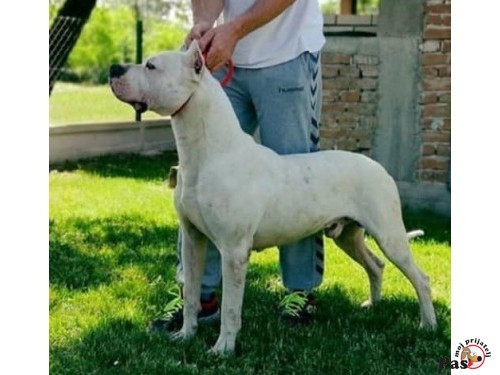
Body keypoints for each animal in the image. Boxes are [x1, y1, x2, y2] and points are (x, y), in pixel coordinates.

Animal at [108, 41, 434, 356]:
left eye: (151, 66)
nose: (113, 68)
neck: (208, 153)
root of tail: (379, 167)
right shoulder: (192, 240)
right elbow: (190, 294)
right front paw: (186, 334)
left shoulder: (234, 251)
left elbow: (231, 308)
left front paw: (223, 349)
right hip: (348, 236)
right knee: (376, 265)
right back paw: (373, 305)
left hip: (389, 235)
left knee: (420, 278)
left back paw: (427, 325)